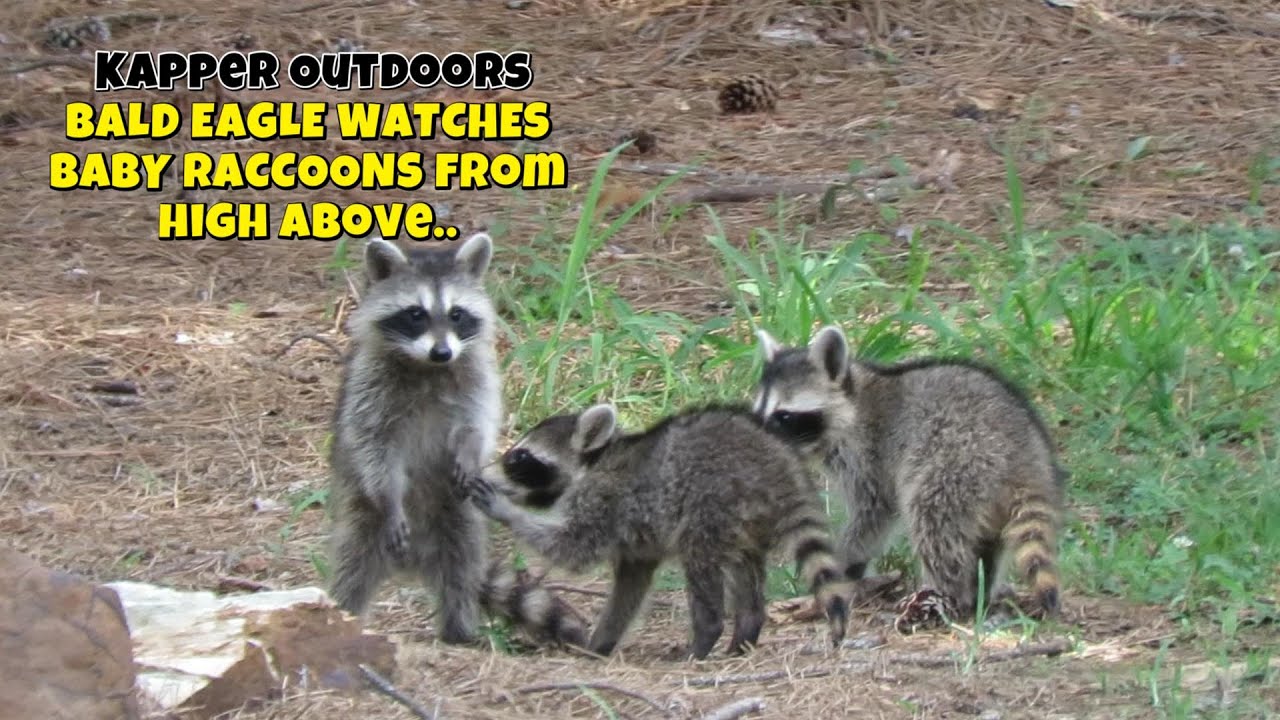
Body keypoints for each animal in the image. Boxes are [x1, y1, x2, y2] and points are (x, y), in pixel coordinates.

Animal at [327, 232, 586, 648]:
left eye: (456, 314)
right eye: (416, 313)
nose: (442, 351)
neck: (427, 366)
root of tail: (414, 561)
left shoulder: (476, 374)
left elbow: (474, 423)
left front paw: (467, 451)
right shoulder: (369, 386)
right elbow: (373, 444)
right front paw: (390, 494)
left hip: (457, 515)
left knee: (461, 568)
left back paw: (460, 630)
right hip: (362, 518)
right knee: (352, 566)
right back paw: (340, 618)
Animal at [461, 403, 855, 660]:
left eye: (520, 458)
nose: (484, 473)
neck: (592, 464)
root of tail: (779, 465)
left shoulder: (606, 501)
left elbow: (573, 549)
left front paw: (505, 509)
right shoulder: (635, 544)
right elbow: (629, 587)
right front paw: (601, 642)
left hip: (716, 499)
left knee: (701, 561)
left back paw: (706, 637)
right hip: (746, 519)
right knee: (746, 566)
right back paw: (746, 629)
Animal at [753, 325, 1067, 628]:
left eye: (784, 416)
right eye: (758, 412)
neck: (852, 402)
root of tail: (1024, 456)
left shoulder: (868, 455)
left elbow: (874, 514)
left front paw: (846, 563)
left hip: (960, 460)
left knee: (933, 521)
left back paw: (945, 593)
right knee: (986, 541)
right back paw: (979, 589)